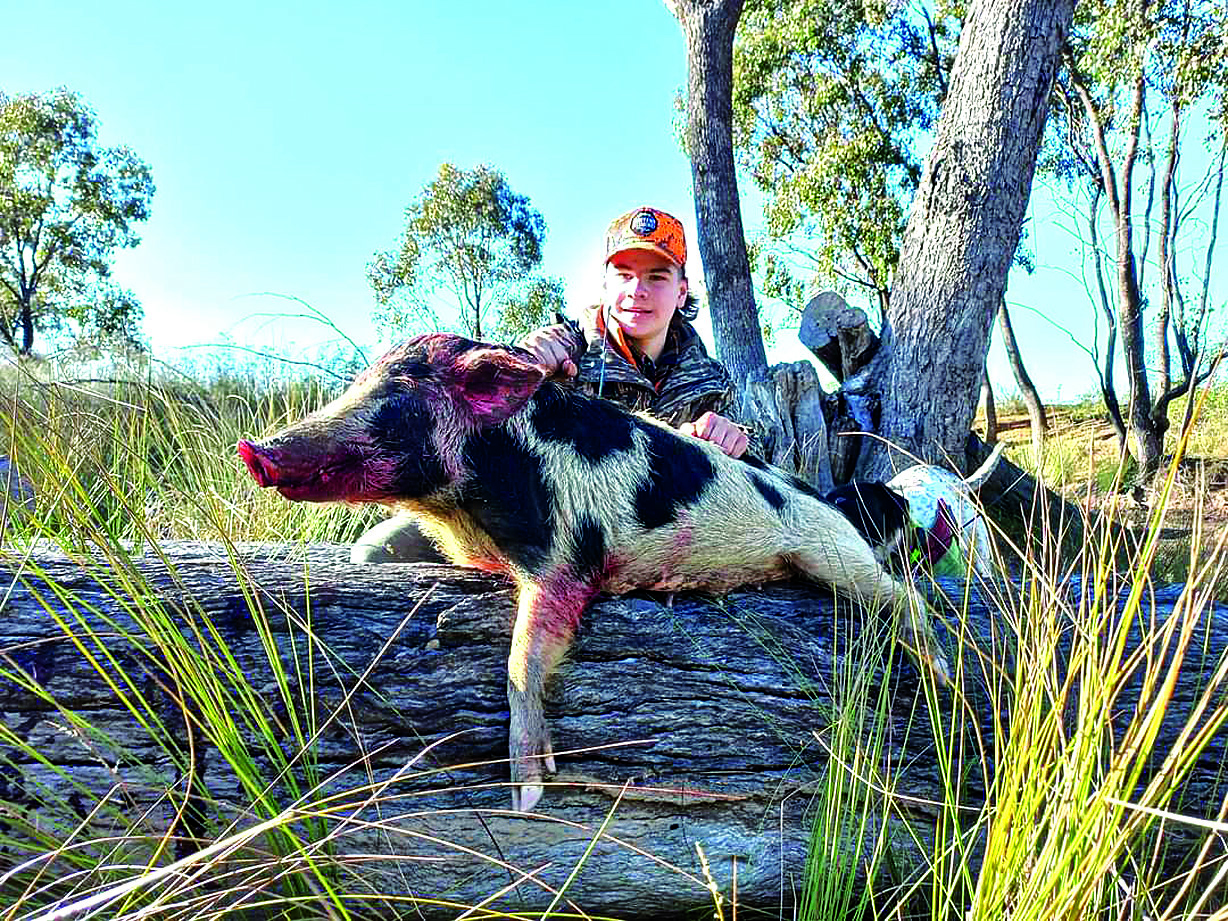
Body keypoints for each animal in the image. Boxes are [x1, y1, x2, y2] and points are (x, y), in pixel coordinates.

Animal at [237, 333, 951, 812]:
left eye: (396, 398)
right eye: (360, 383)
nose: (256, 448)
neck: (468, 509)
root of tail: (823, 499)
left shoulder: (566, 557)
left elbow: (523, 656)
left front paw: (527, 793)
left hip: (831, 555)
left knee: (907, 597)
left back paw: (945, 679)